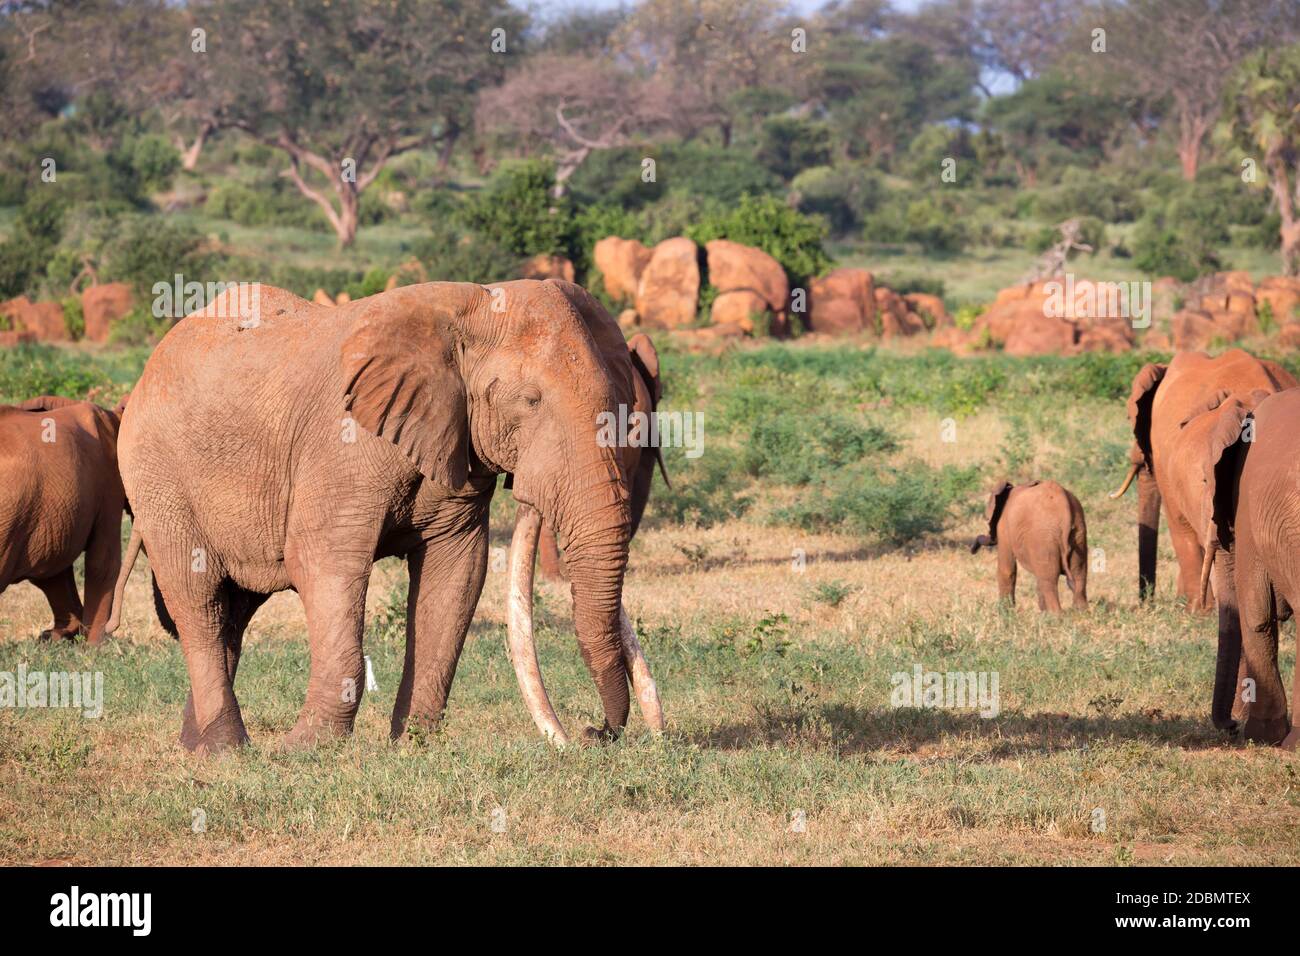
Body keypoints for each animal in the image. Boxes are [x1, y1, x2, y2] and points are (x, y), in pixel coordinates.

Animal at [0, 395, 125, 644]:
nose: (113, 627)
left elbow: (53, 567)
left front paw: (56, 637)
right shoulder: (109, 482)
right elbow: (103, 561)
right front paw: (93, 646)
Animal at [970, 479, 1088, 611]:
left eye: (987, 520)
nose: (972, 550)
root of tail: (1064, 506)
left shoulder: (1004, 527)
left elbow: (1007, 570)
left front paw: (1006, 612)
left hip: (1044, 538)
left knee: (1049, 580)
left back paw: (1055, 615)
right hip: (1078, 534)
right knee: (1079, 575)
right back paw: (1081, 612)